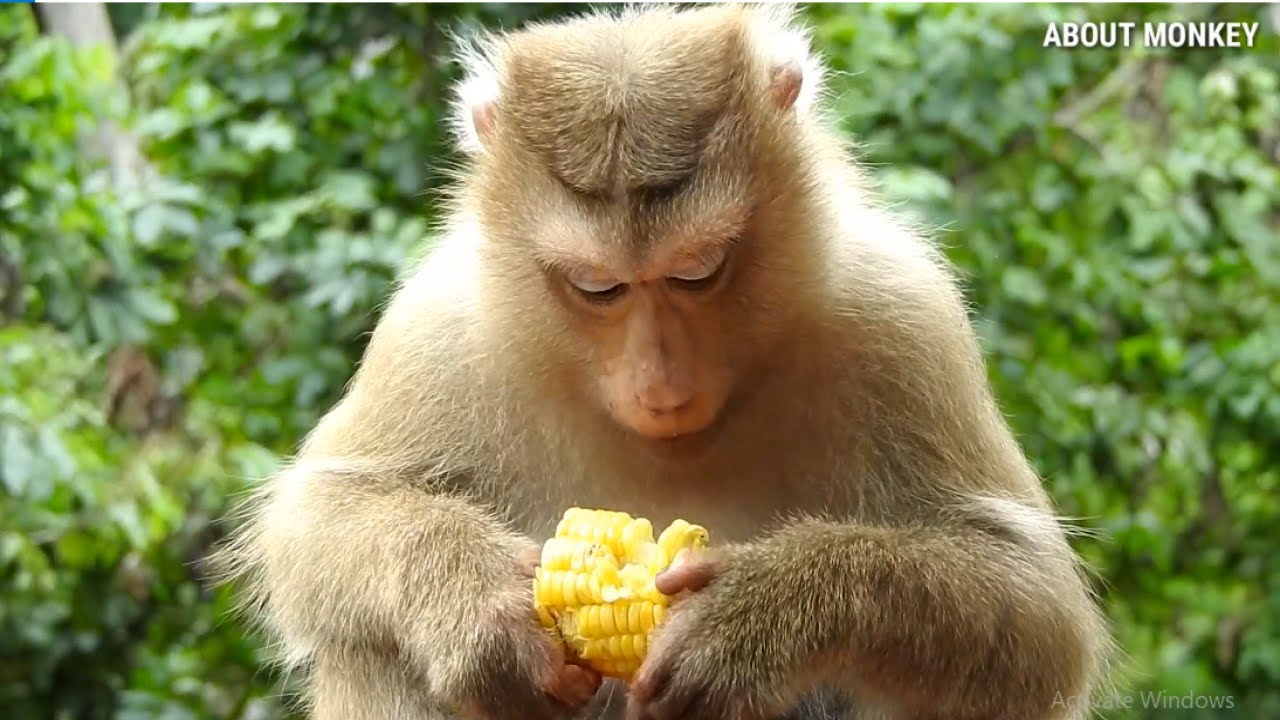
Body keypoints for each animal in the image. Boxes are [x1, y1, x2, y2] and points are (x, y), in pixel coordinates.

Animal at [217, 4, 1112, 720]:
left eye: (699, 271)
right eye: (598, 287)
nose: (662, 384)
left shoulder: (902, 315)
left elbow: (1032, 603)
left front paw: (755, 618)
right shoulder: (434, 329)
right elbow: (321, 515)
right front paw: (475, 607)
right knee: (368, 641)